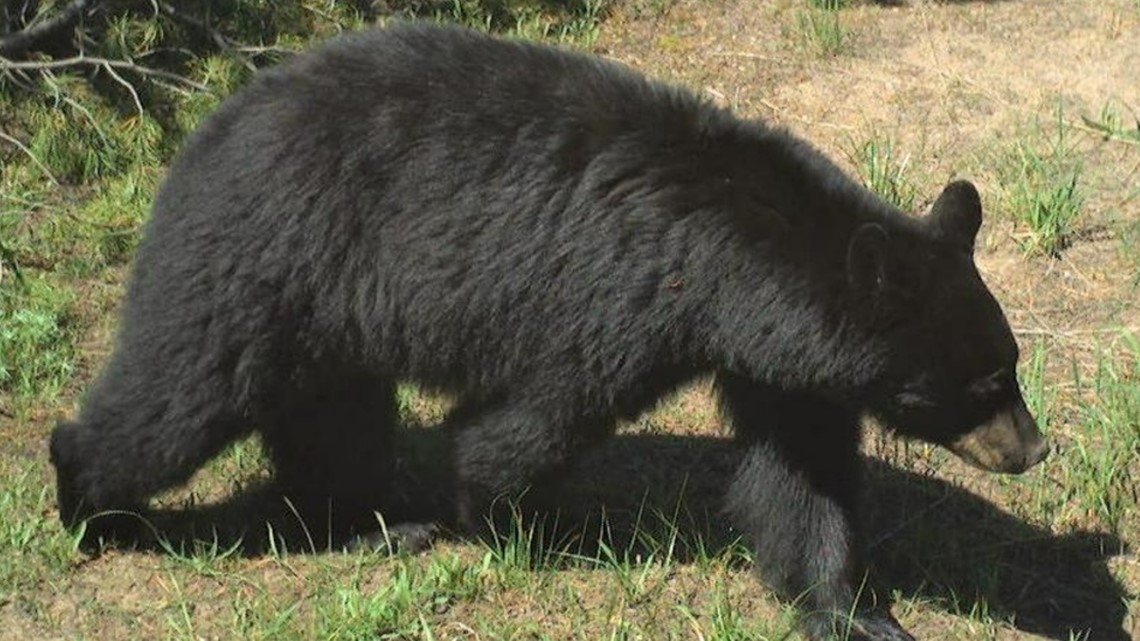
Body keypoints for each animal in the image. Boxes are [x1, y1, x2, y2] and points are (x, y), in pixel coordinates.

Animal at [49, 23, 1048, 641]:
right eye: (983, 383)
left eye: (1011, 364)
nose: (1033, 447)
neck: (730, 262)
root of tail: (211, 124)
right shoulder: (613, 301)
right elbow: (529, 421)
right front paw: (505, 515)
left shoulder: (779, 363)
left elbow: (803, 481)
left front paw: (855, 609)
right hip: (267, 253)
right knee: (180, 394)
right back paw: (89, 503)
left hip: (328, 308)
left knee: (331, 414)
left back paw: (373, 520)